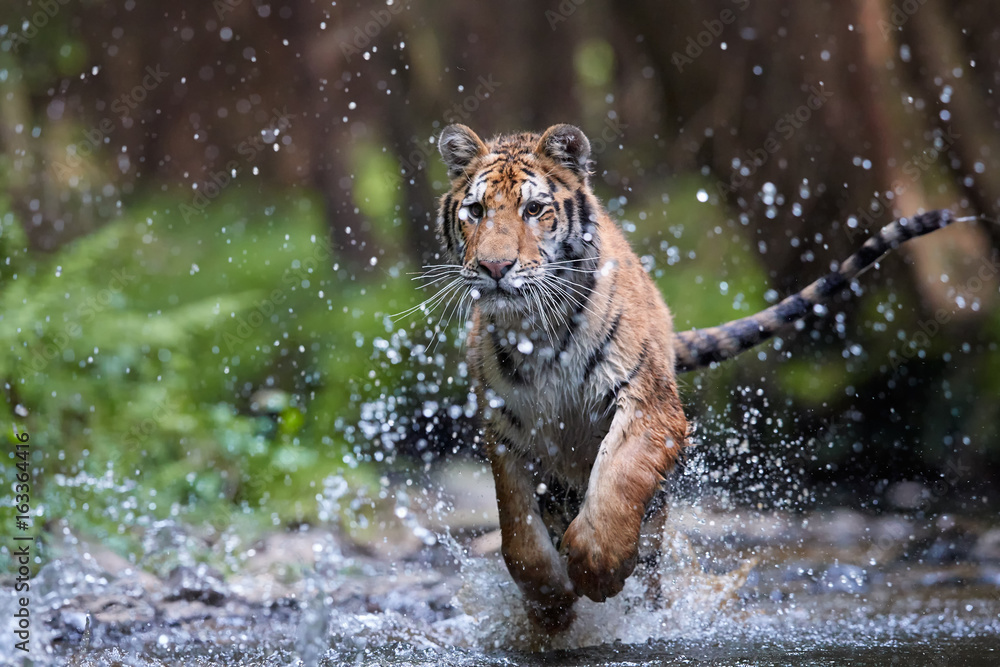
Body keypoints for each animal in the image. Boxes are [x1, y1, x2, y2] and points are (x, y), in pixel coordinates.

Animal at [432, 122, 972, 632]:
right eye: (476, 210)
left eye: (533, 209)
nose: (494, 267)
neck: (536, 332)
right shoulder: (505, 430)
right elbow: (519, 536)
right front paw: (551, 606)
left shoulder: (650, 406)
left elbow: (617, 480)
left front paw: (597, 570)